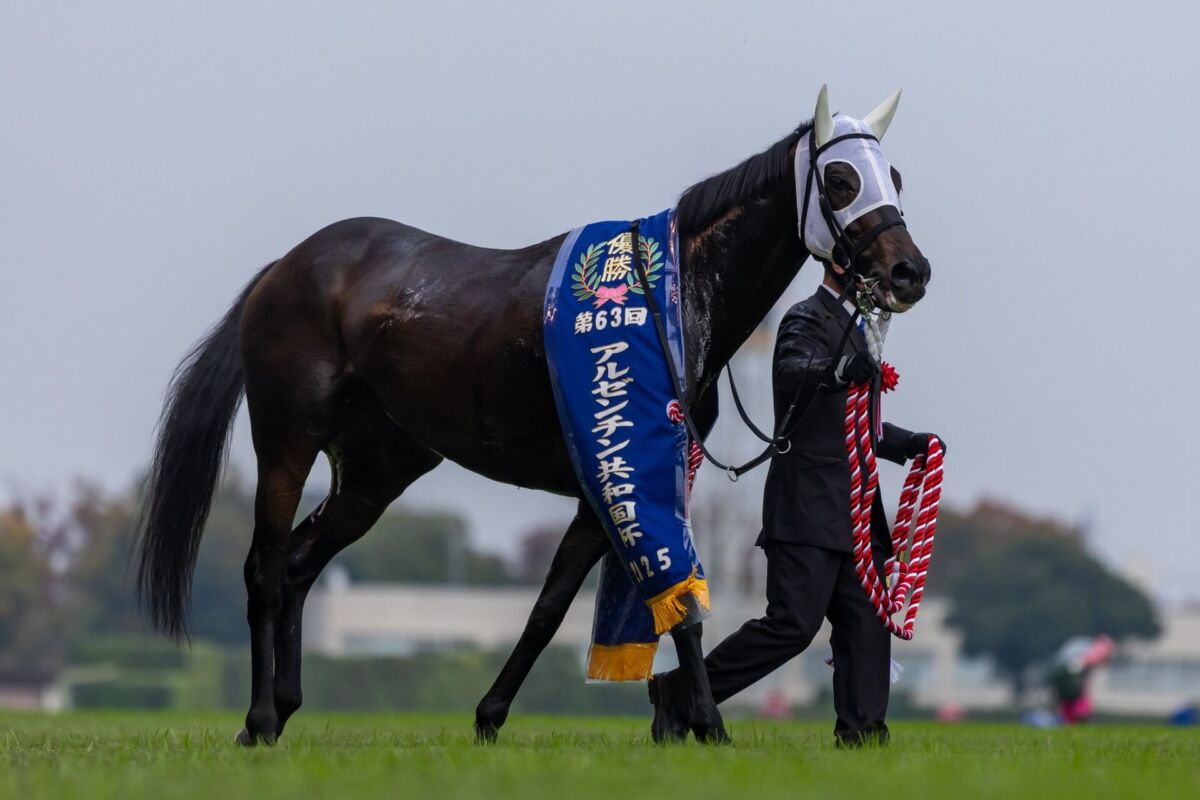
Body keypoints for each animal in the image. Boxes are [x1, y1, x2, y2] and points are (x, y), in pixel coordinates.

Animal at [136, 85, 931, 746]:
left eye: (893, 178)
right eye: (840, 179)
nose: (909, 271)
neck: (672, 301)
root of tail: (287, 267)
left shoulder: (614, 484)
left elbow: (557, 608)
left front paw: (492, 718)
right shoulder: (622, 471)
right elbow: (682, 610)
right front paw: (708, 723)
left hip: (377, 469)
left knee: (302, 563)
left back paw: (286, 707)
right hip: (287, 436)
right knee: (266, 567)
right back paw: (258, 719)